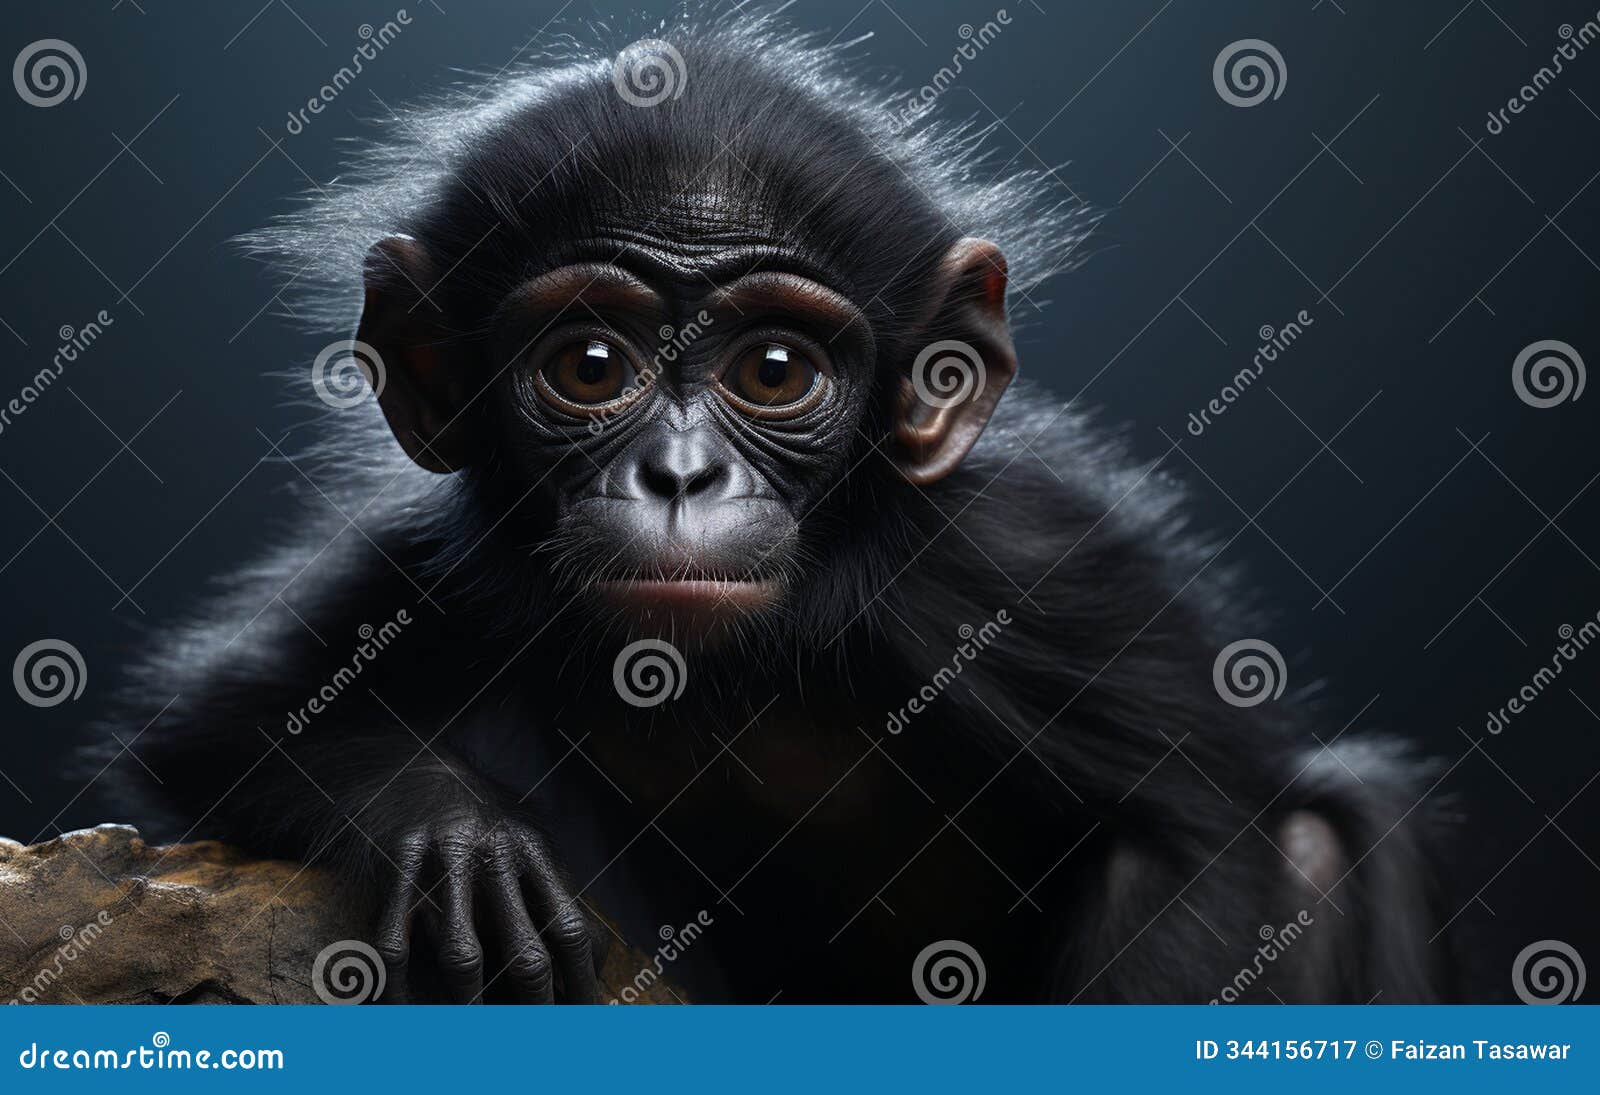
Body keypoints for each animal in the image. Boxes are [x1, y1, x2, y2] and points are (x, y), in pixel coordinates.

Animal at [95, 11, 1457, 1003]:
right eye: (590, 367)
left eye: (773, 373)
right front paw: (448, 831)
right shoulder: (438, 563)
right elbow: (226, 722)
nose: (681, 475)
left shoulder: (1016, 576)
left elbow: (1200, 839)